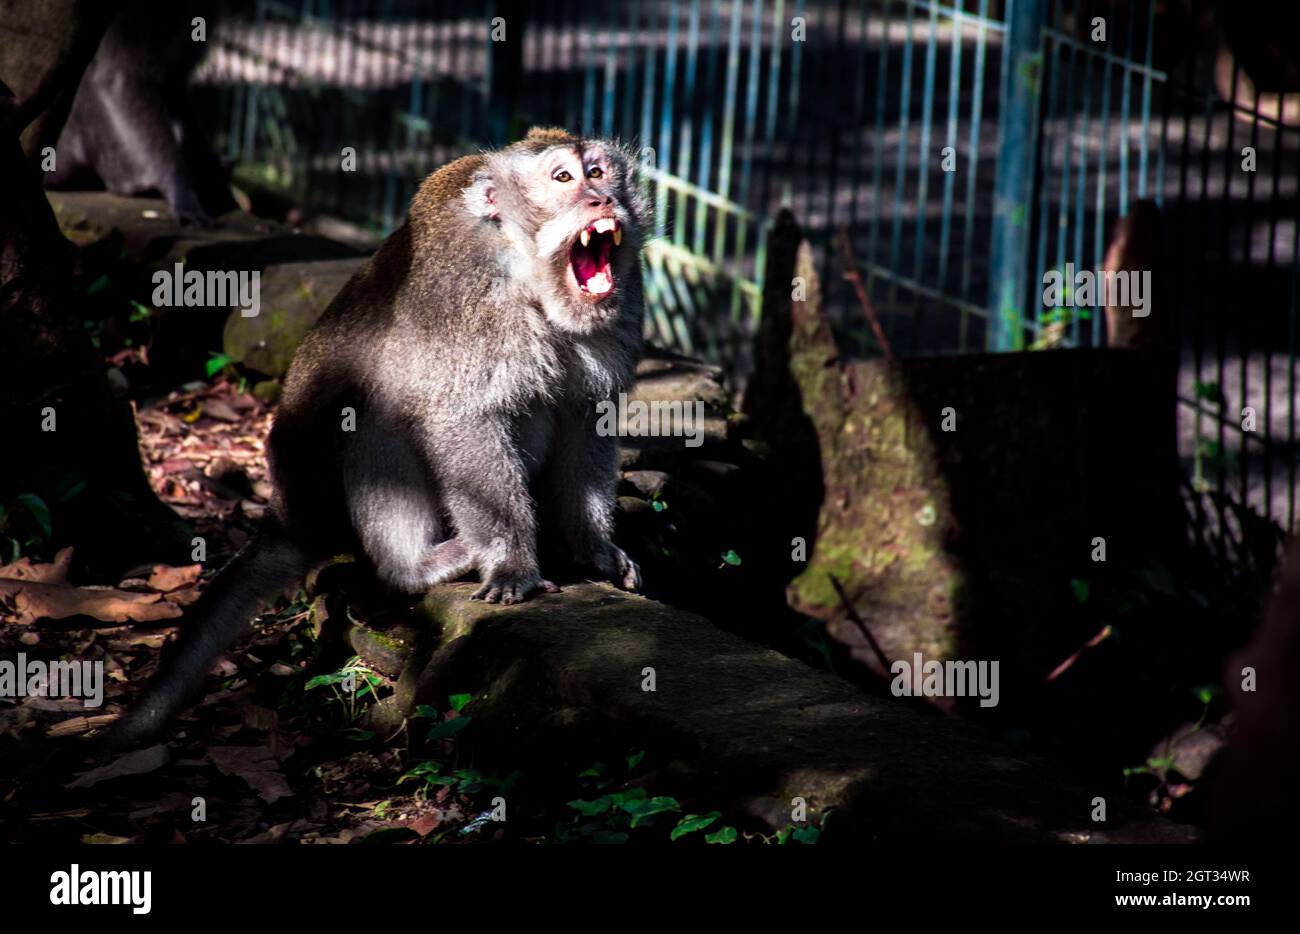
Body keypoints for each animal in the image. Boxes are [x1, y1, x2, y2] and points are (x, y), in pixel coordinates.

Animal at [109, 127, 648, 746]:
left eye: (599, 171)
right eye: (563, 178)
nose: (601, 199)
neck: (528, 277)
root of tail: (291, 514)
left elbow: (588, 417)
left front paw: (593, 549)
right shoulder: (467, 304)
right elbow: (462, 419)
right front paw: (511, 561)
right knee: (373, 417)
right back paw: (413, 566)